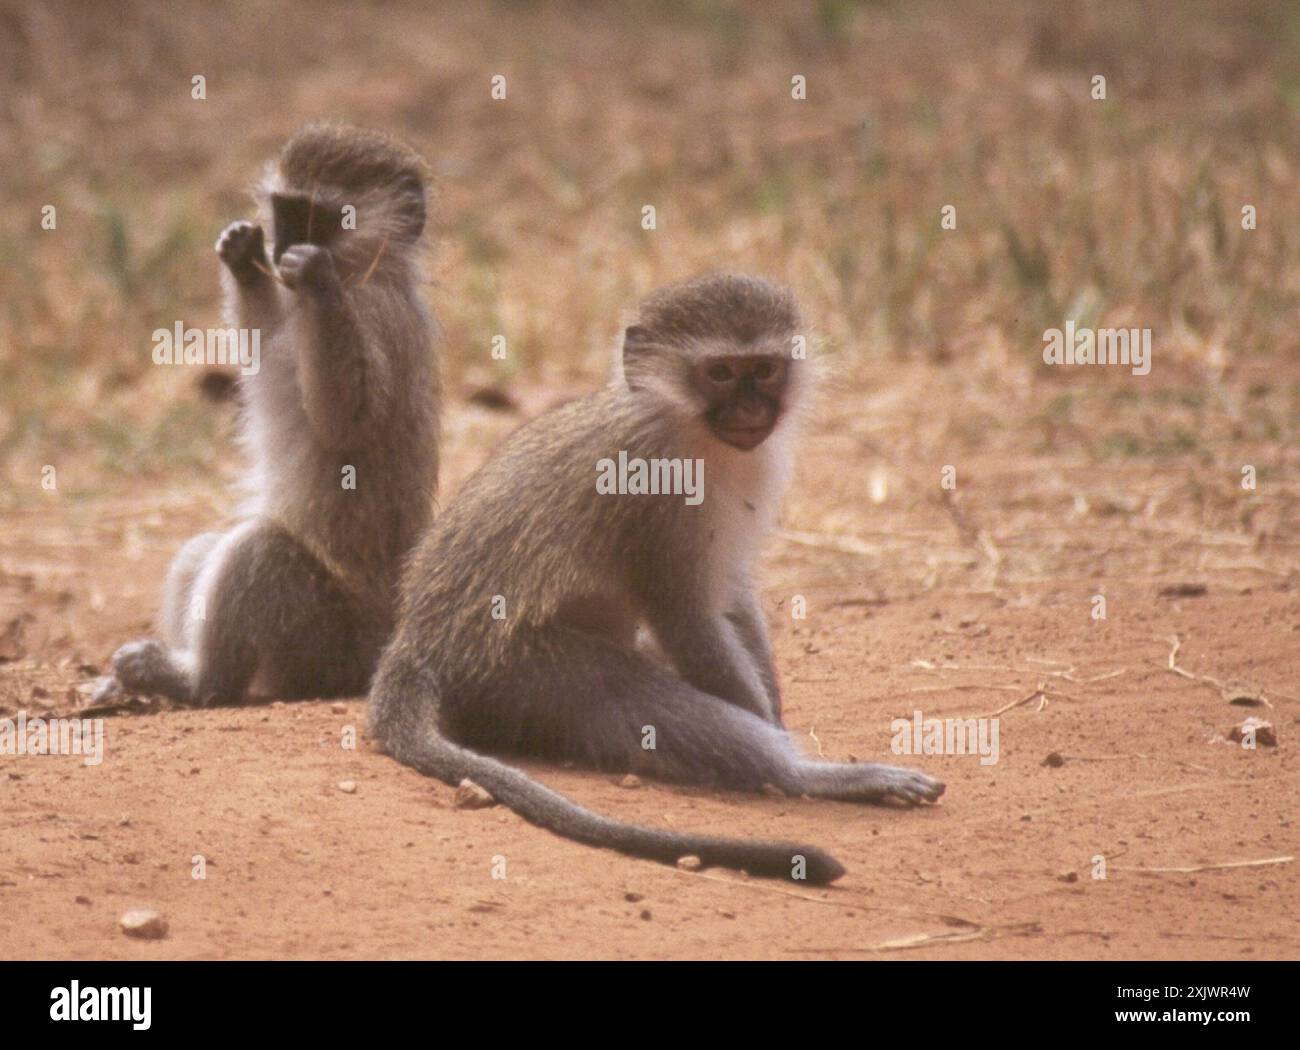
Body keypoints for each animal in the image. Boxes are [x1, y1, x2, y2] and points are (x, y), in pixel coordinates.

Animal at [109, 123, 440, 706]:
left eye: (321, 217)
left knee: (257, 550)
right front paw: (243, 256)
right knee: (203, 550)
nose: (283, 244)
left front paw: (317, 280)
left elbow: (349, 420)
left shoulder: (379, 315)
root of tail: (382, 637)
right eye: (285, 209)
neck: (367, 270)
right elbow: (264, 340)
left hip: (325, 639)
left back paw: (193, 681)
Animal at [369, 274, 943, 884]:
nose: (749, 408)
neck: (686, 426)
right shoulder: (653, 490)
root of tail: (414, 646)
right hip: (522, 673)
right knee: (646, 700)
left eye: (763, 369)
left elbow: (731, 590)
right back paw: (812, 776)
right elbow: (684, 614)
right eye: (720, 373)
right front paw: (778, 734)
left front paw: (779, 714)